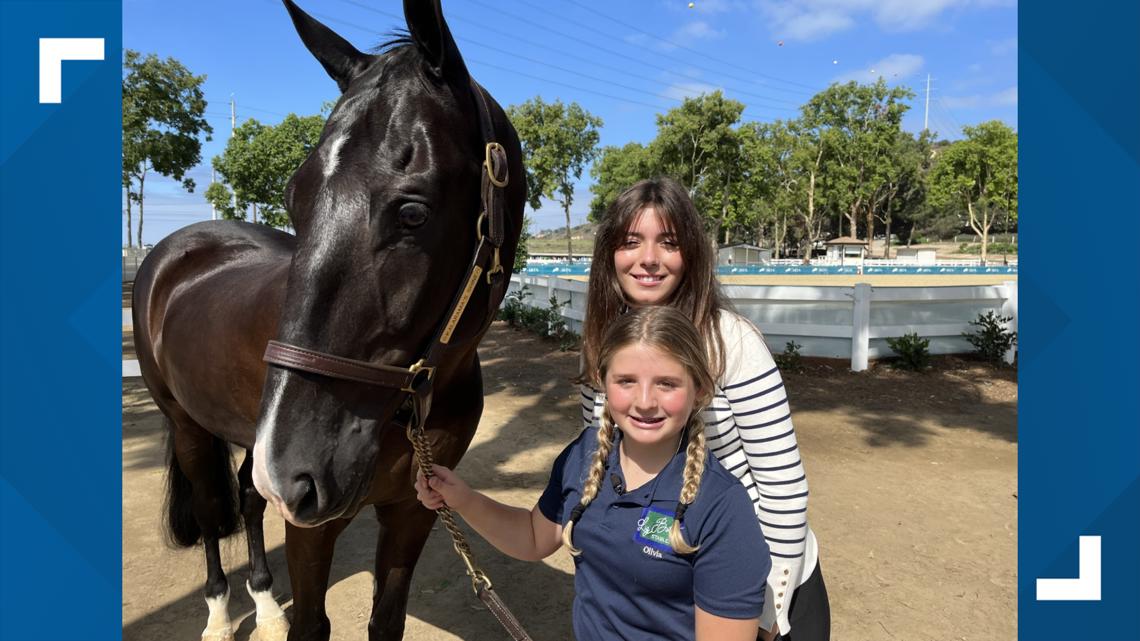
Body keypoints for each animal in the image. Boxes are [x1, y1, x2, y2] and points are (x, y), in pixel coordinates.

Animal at [130, 1, 525, 639]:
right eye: (295, 197)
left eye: (413, 213)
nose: (295, 472)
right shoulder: (311, 528)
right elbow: (312, 623)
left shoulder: (412, 511)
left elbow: (386, 619)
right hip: (193, 427)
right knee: (213, 514)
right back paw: (219, 615)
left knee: (248, 500)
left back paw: (265, 605)